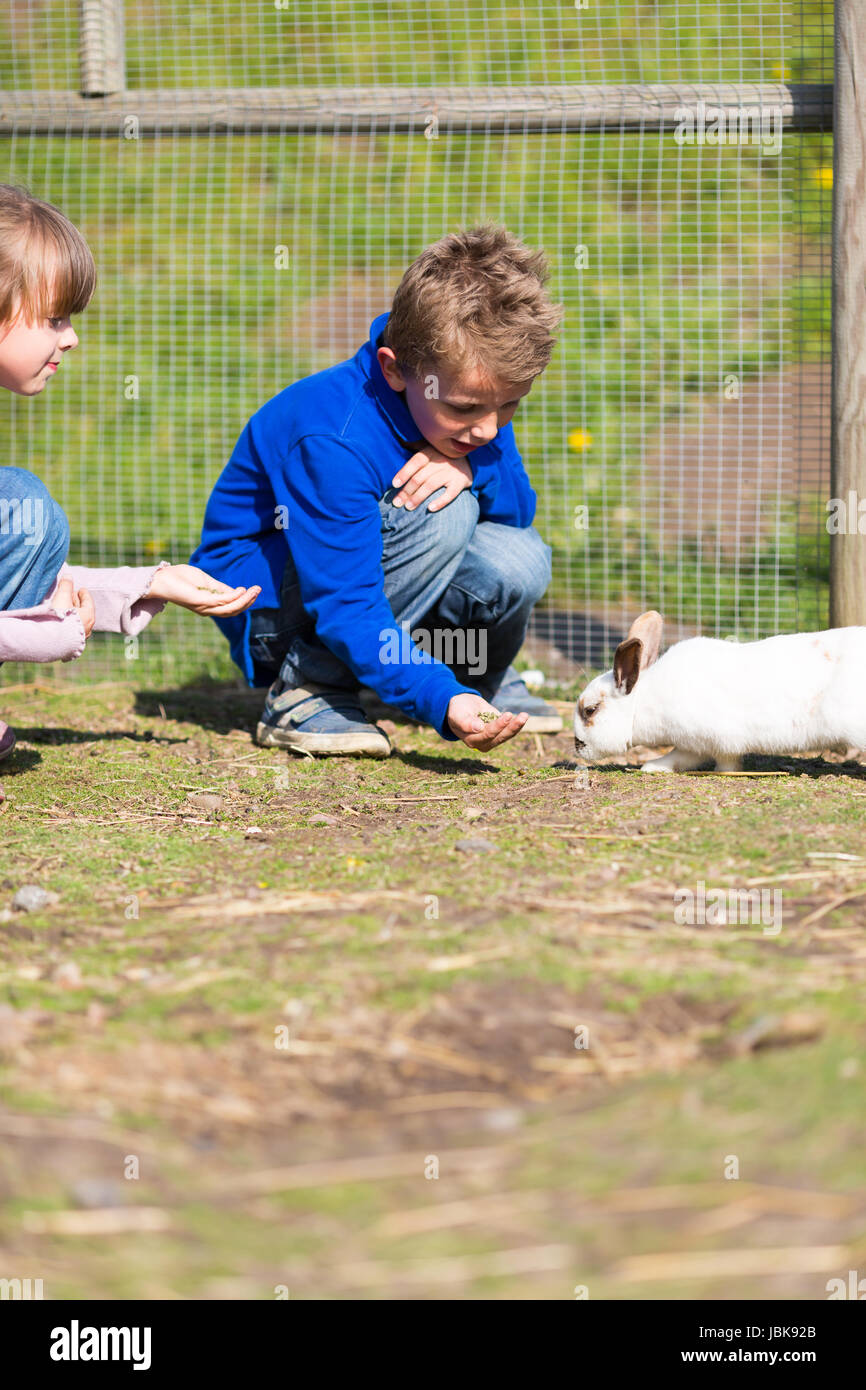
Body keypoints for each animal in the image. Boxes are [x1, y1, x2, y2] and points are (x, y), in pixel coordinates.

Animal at [573, 610, 866, 772]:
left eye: (590, 710)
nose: (577, 747)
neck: (643, 703)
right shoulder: (695, 744)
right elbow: (681, 758)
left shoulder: (708, 740)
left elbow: (701, 758)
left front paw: (650, 767)